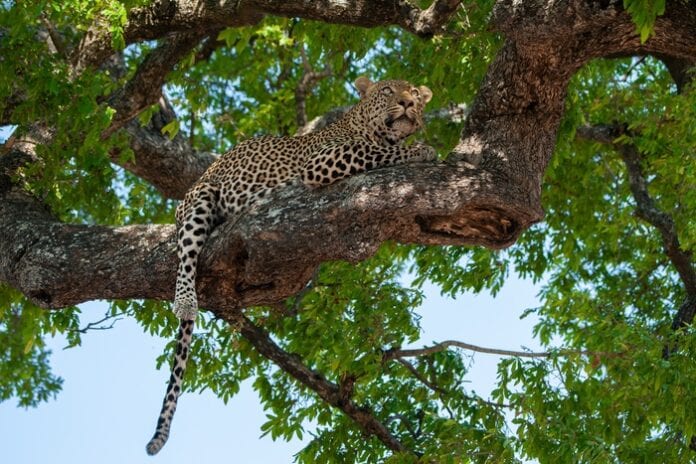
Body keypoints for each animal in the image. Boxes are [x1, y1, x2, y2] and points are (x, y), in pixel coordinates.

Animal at [145, 76, 436, 455]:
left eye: (414, 94)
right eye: (387, 91)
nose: (406, 103)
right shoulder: (325, 158)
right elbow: (381, 153)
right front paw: (422, 150)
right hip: (200, 199)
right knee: (186, 256)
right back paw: (184, 300)